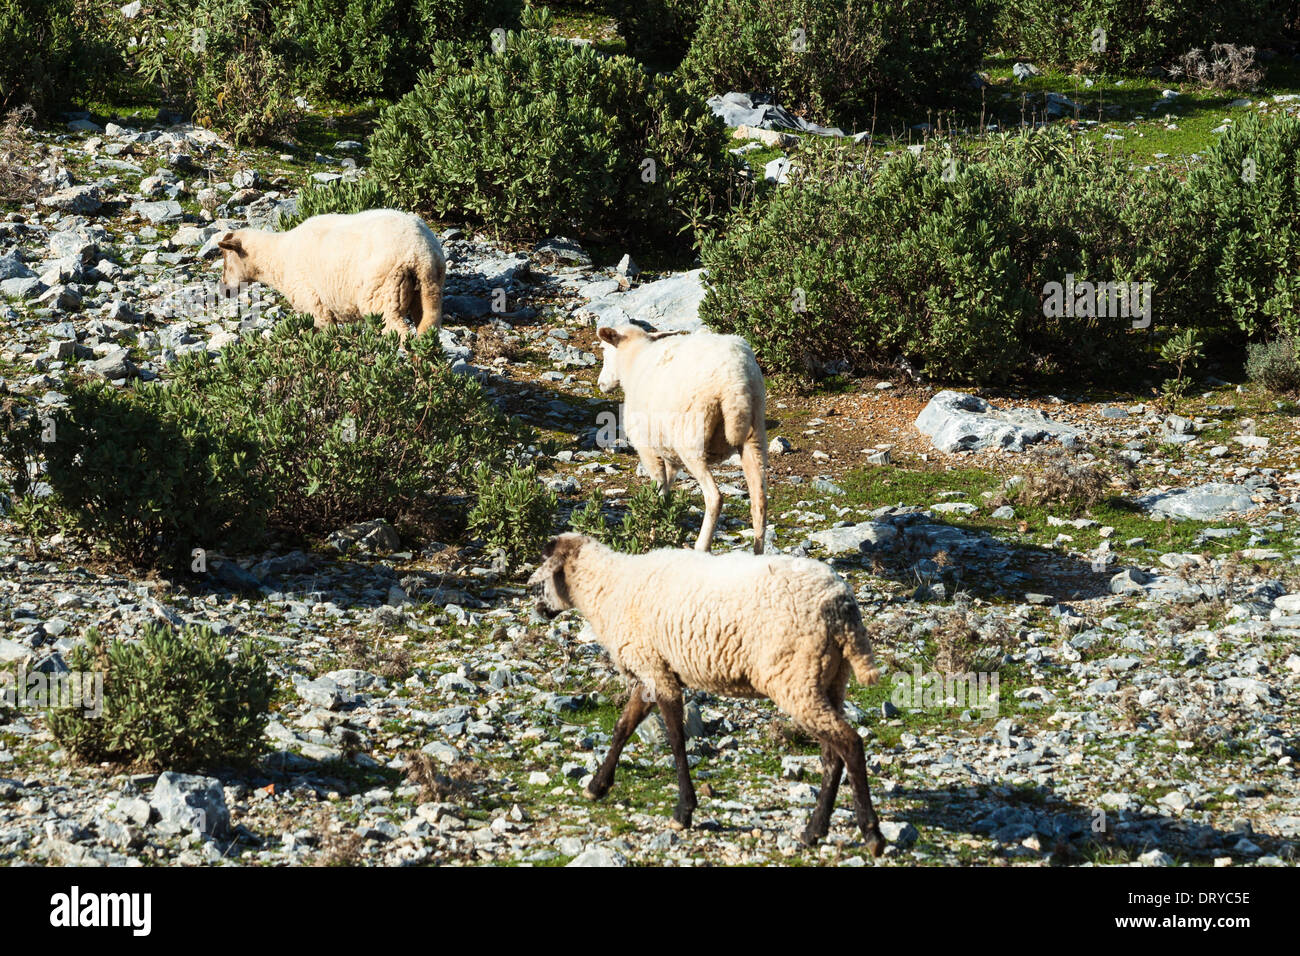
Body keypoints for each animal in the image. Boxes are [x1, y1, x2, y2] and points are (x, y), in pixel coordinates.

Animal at [217, 208, 445, 339]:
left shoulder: (314, 306)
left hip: (383, 294)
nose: (223, 289)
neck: (279, 258)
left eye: (226, 257)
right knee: (427, 330)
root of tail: (419, 251)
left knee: (400, 333)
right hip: (429, 290)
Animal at [527, 532, 888, 855]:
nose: (539, 609)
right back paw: (815, 831)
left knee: (850, 744)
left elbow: (675, 739)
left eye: (543, 577)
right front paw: (597, 786)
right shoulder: (652, 670)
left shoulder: (657, 673)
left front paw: (684, 811)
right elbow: (623, 727)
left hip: (796, 679)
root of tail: (841, 603)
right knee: (832, 755)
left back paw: (871, 834)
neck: (609, 588)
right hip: (829, 680)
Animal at [596, 323, 767, 554]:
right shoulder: (669, 456)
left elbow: (657, 493)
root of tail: (735, 380)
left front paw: (652, 535)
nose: (601, 383)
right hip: (755, 433)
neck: (633, 360)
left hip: (692, 437)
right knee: (759, 500)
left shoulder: (648, 449)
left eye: (604, 350)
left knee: (714, 497)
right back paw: (758, 552)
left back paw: (702, 546)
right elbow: (666, 492)